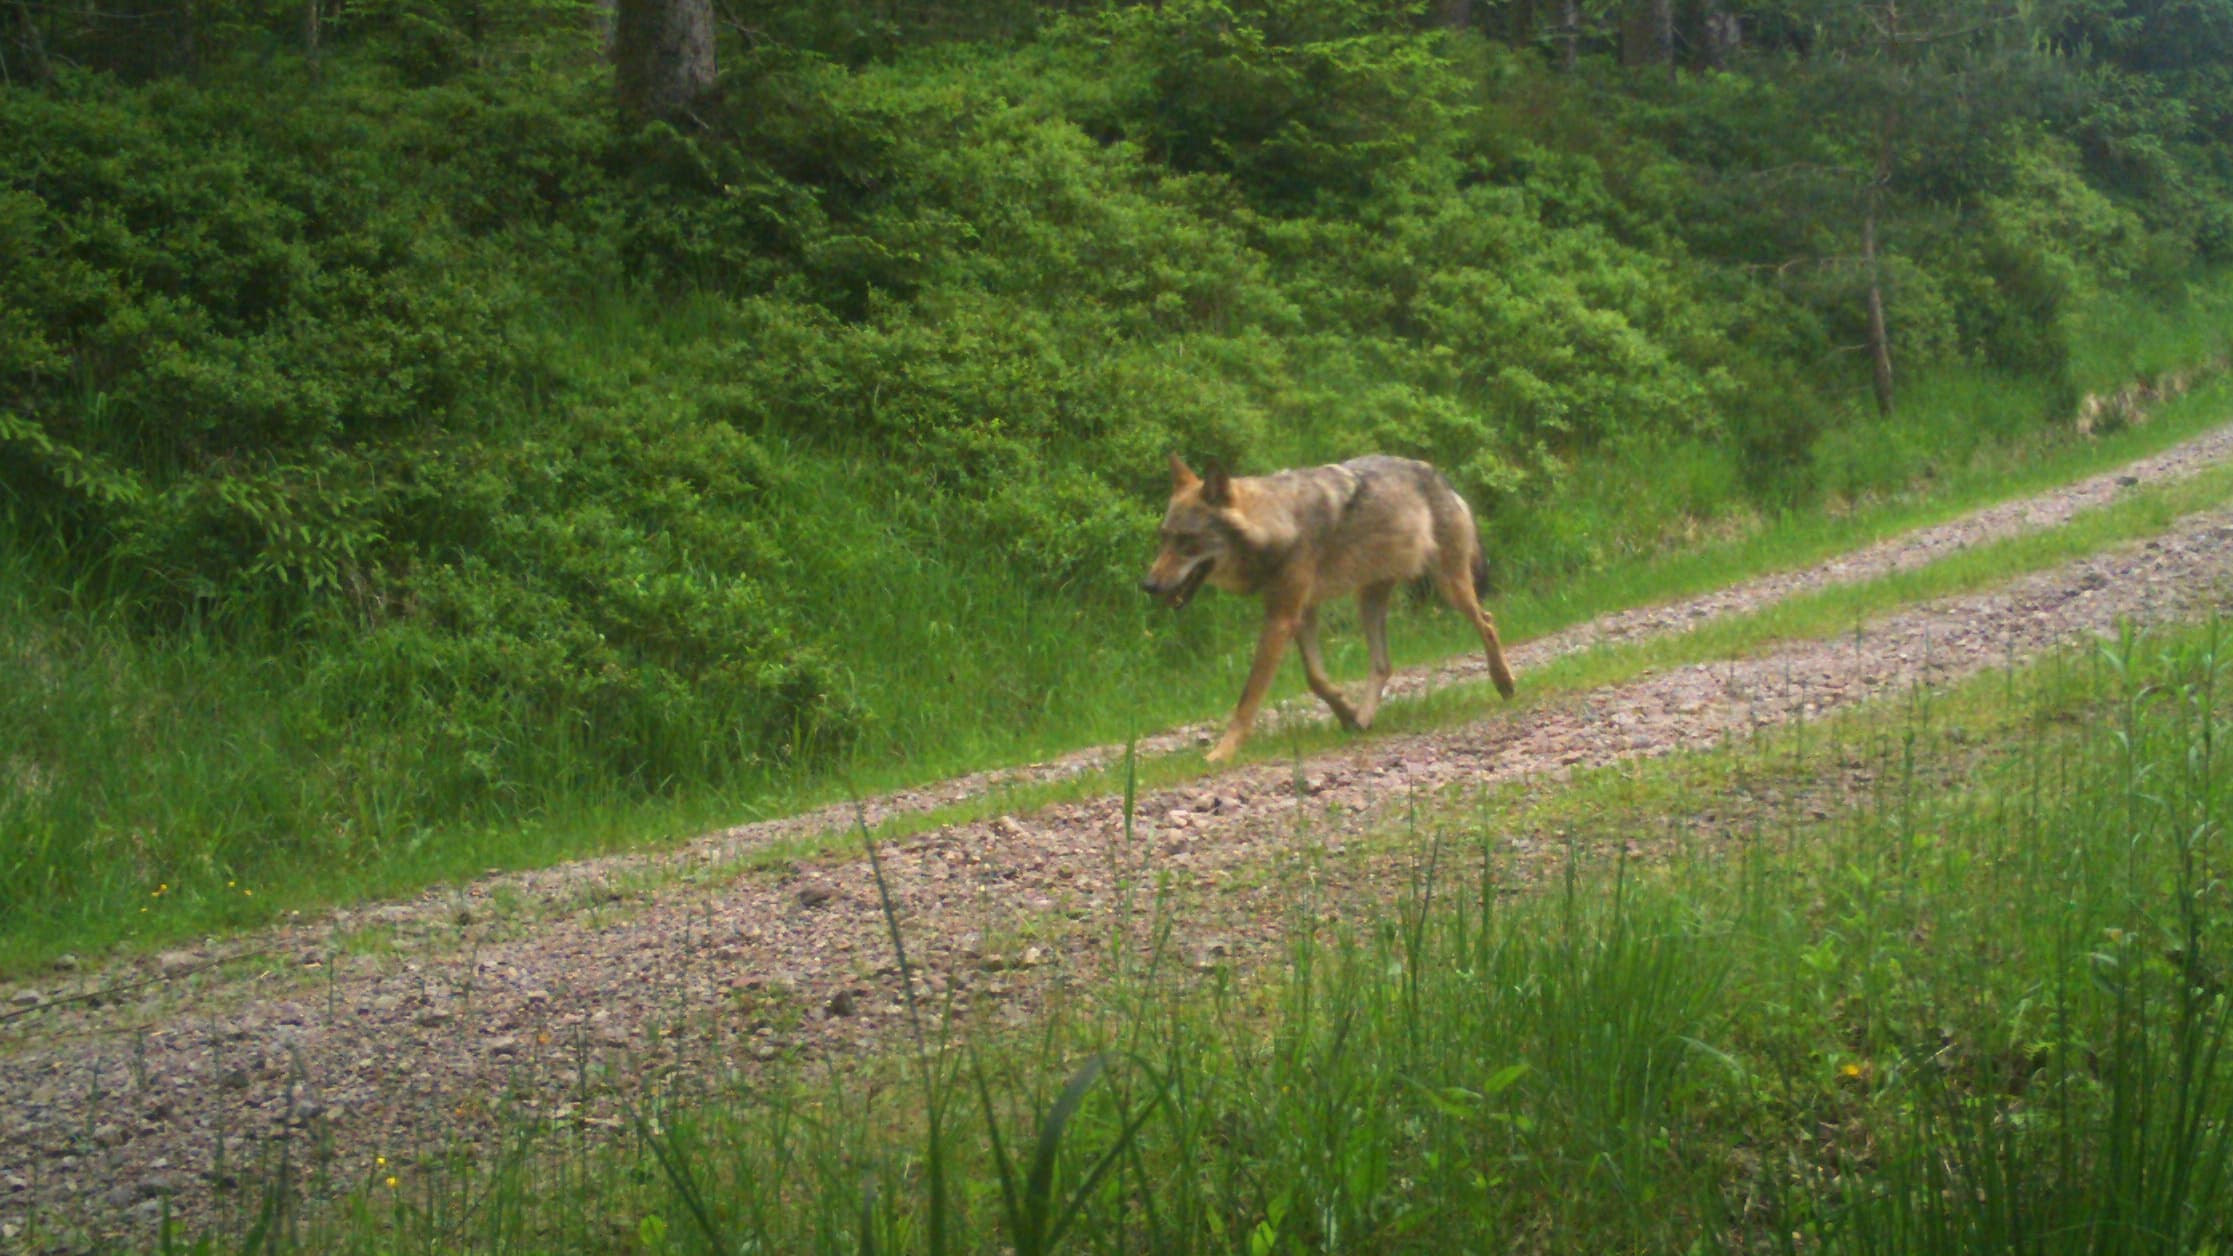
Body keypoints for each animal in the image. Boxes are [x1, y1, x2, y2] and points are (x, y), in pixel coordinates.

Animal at [1141, 454, 1518, 763]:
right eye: (1163, 538)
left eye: (1187, 542)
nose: (1148, 585)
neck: (1278, 524)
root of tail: (1442, 478)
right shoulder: (1301, 613)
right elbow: (1317, 679)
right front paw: (1346, 713)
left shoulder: (1282, 617)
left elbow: (1248, 699)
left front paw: (1222, 752)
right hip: (1370, 600)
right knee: (1383, 664)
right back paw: (1363, 718)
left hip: (1450, 587)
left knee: (1487, 621)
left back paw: (1503, 682)